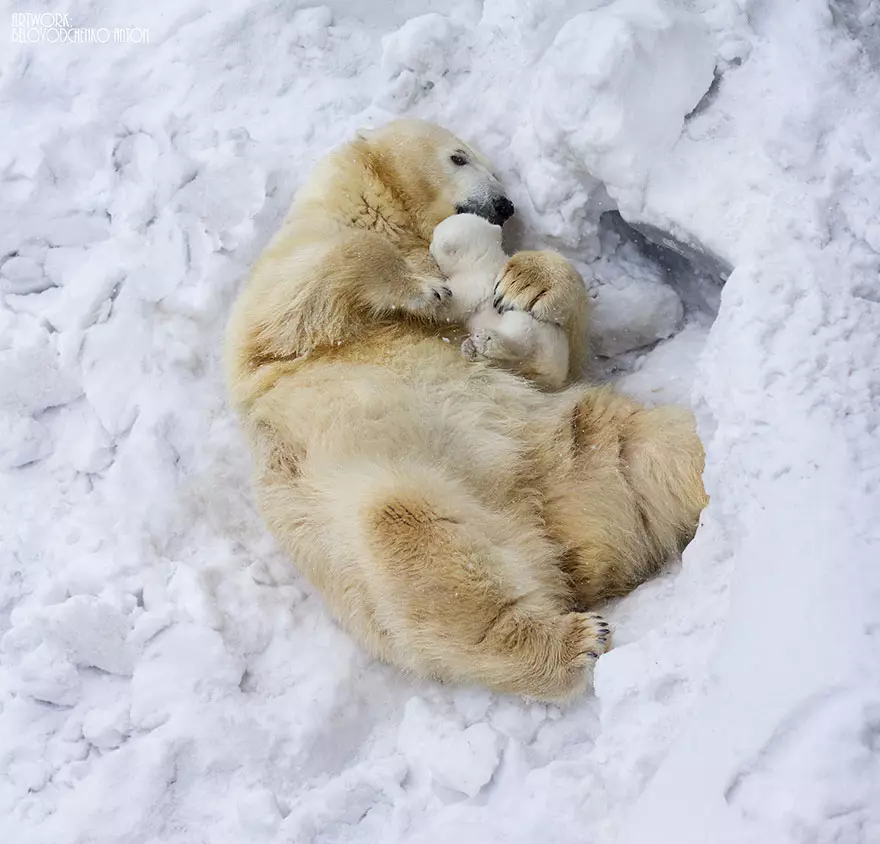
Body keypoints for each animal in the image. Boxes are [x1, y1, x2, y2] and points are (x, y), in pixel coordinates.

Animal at [428, 213, 568, 388]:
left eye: (434, 239)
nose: (429, 246)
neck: (483, 258)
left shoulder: (474, 281)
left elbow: (454, 304)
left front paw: (436, 292)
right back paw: (471, 349)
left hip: (537, 333)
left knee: (520, 337)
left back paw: (485, 341)